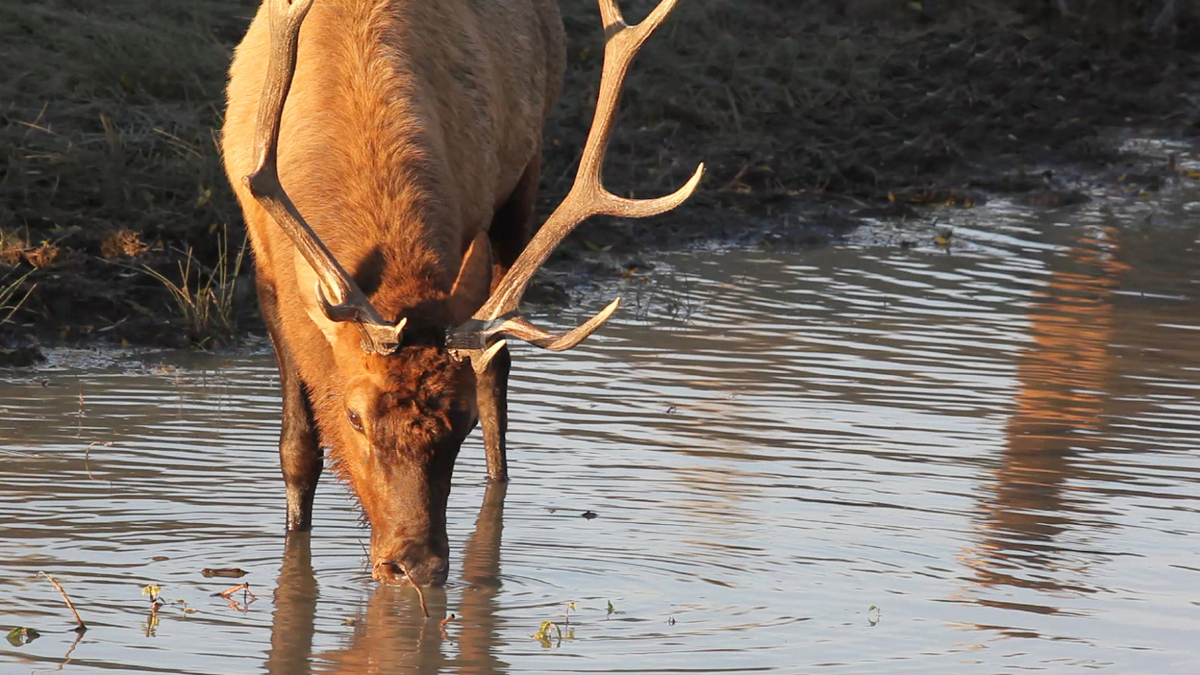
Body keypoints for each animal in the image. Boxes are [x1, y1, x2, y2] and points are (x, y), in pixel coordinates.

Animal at [221, 0, 702, 587]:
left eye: (463, 420)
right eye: (355, 416)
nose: (416, 563)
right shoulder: (266, 262)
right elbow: (297, 449)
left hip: (525, 171)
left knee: (498, 368)